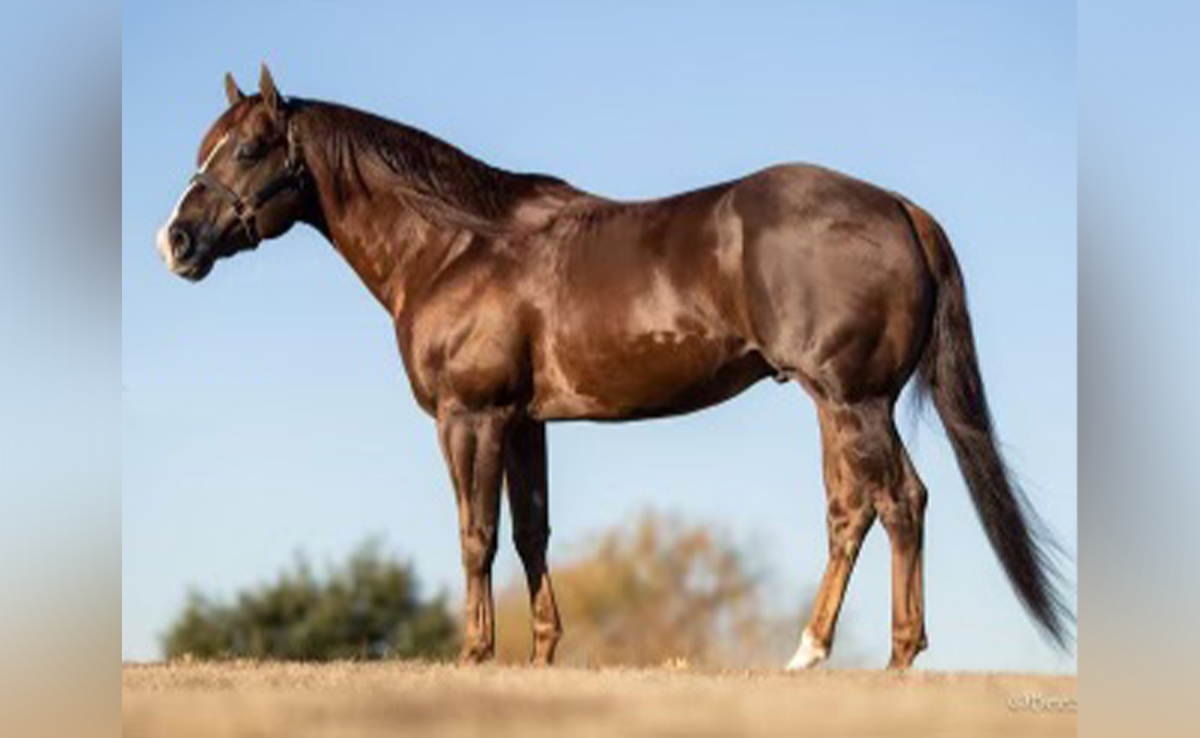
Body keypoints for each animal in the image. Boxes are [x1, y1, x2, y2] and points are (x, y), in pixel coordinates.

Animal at [155, 65, 1071, 669]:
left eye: (248, 149)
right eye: (208, 146)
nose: (177, 241)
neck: (455, 247)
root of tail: (900, 208)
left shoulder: (470, 417)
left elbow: (476, 535)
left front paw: (474, 655)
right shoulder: (524, 423)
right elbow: (531, 532)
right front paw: (539, 656)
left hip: (856, 399)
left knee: (901, 501)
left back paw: (897, 659)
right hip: (833, 401)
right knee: (851, 512)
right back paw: (807, 656)